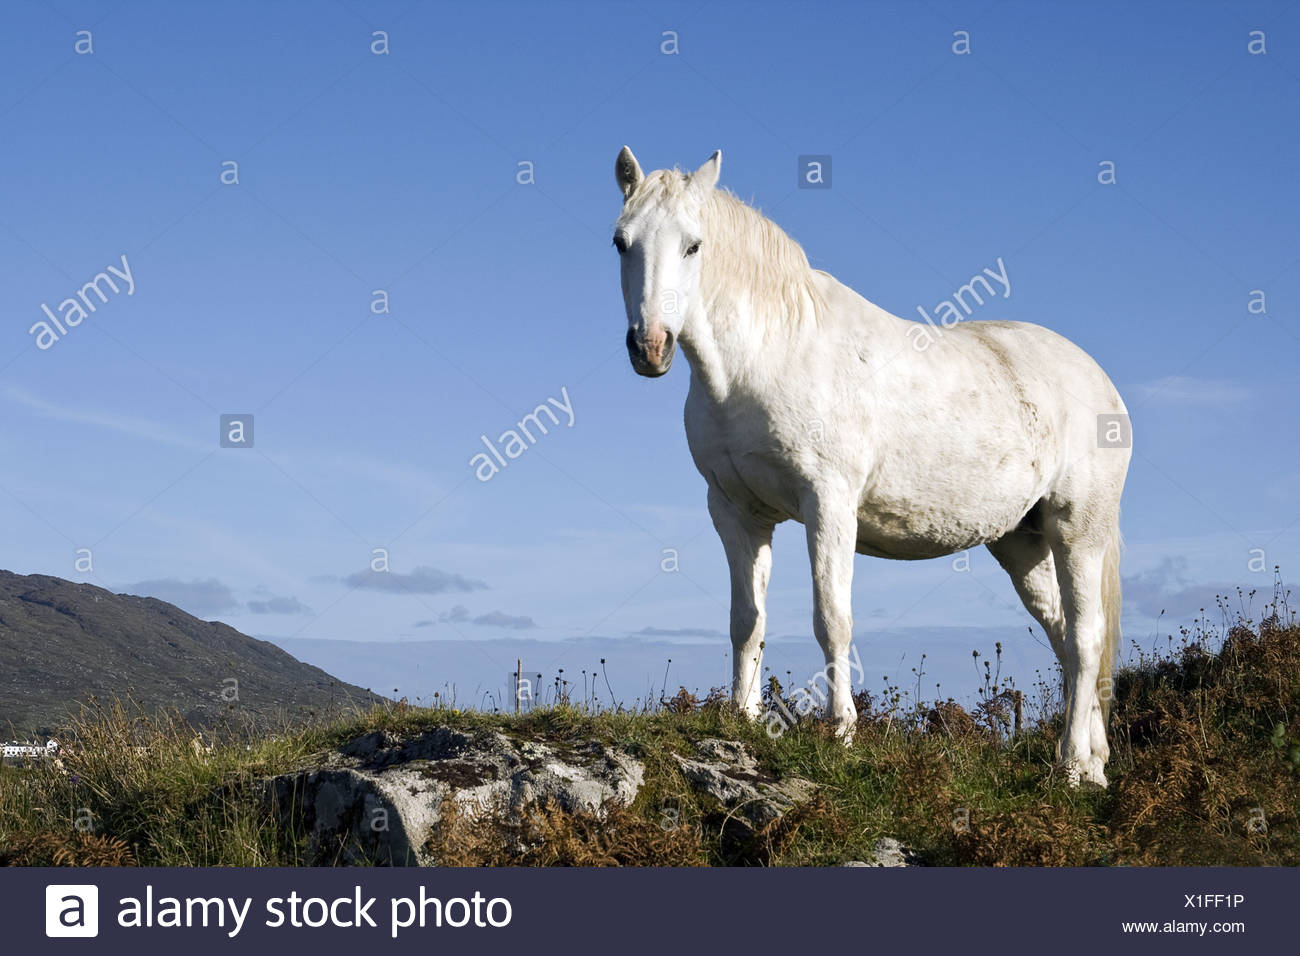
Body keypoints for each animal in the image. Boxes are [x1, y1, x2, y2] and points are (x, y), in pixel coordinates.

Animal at [612, 147, 1132, 787]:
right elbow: (746, 621)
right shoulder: (736, 513)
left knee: (1085, 638)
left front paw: (840, 734)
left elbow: (832, 618)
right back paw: (1095, 761)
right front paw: (743, 720)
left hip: (1077, 529)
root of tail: (1100, 381)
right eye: (621, 242)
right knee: (1065, 637)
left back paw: (1070, 769)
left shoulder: (828, 503)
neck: (768, 354)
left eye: (693, 245)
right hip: (1020, 542)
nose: (650, 347)